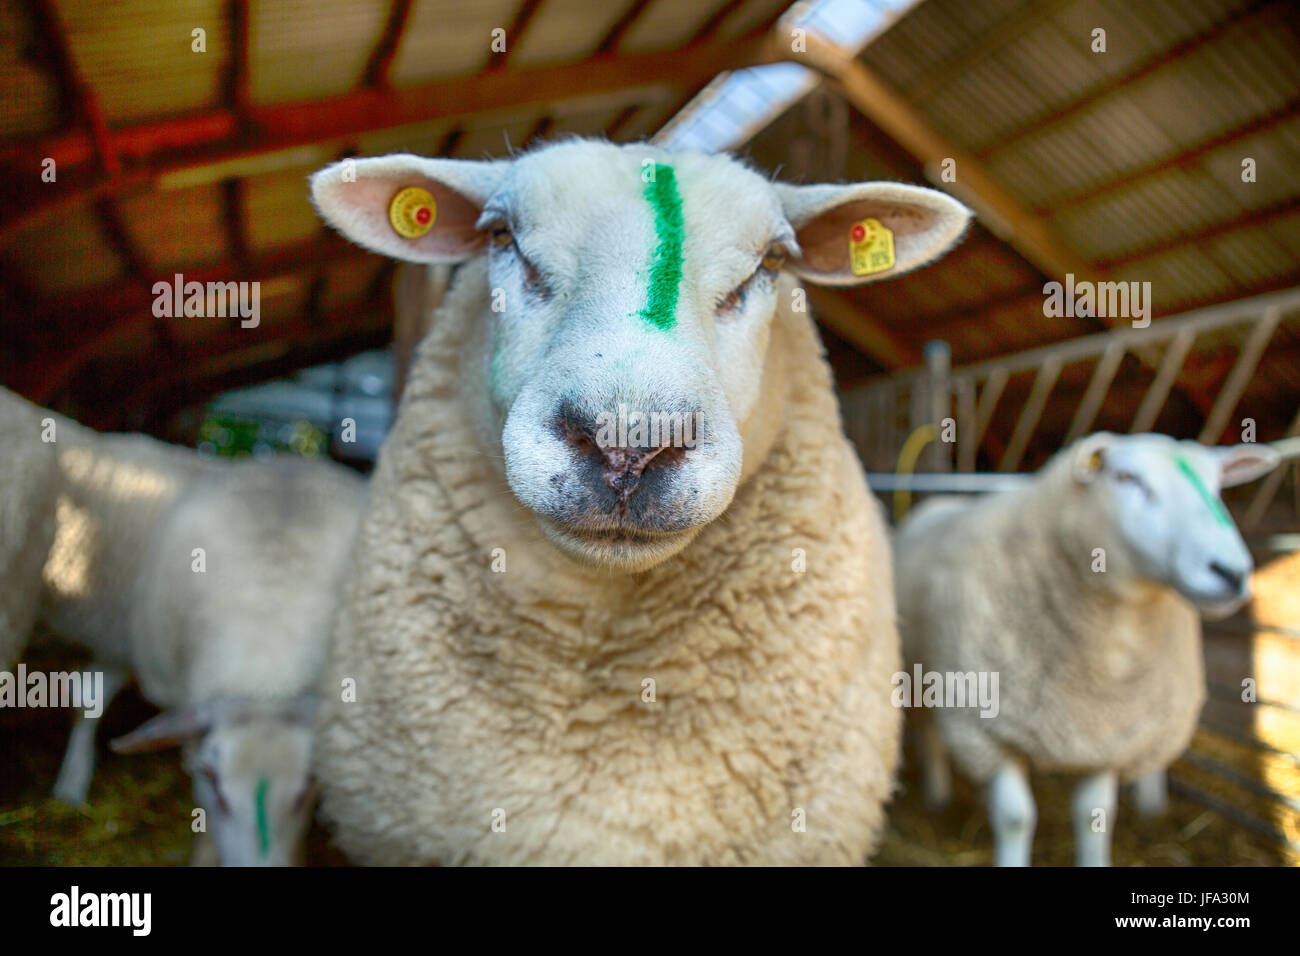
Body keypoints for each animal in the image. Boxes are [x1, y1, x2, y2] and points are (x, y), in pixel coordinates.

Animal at [892, 431, 1280, 866]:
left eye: (1217, 488)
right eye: (1127, 477)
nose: (1231, 573)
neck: (1109, 645)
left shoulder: (1104, 736)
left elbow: (1094, 816)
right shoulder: (986, 730)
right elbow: (1016, 819)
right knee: (930, 733)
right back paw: (937, 794)